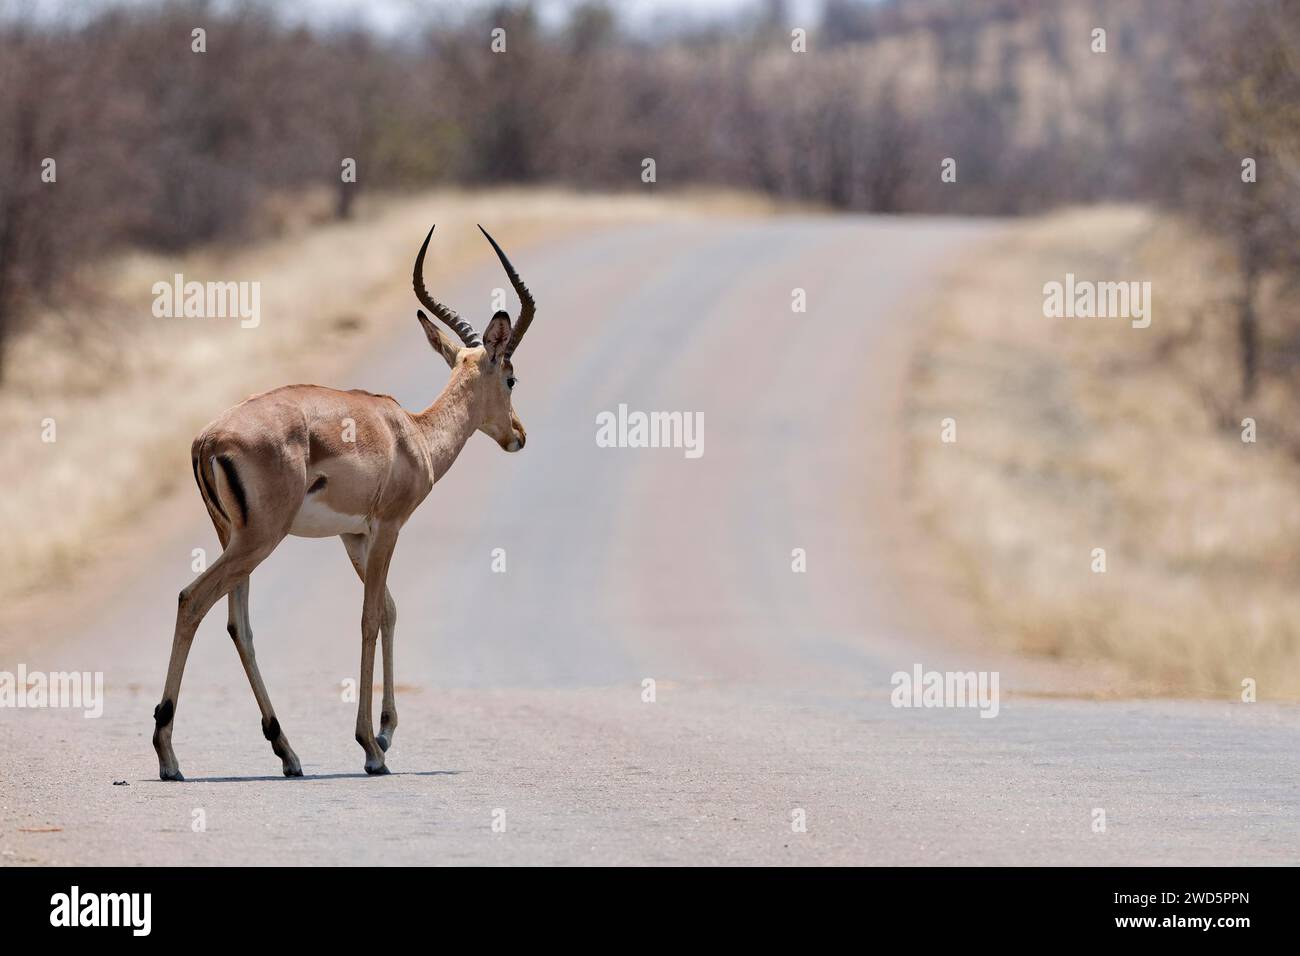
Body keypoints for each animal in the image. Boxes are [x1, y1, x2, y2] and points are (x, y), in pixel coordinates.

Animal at [152, 225, 533, 780]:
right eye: (510, 377)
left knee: (238, 624)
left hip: (234, 540)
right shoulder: (388, 526)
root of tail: (208, 439)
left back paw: (287, 752)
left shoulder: (354, 535)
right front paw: (371, 747)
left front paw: (386, 733)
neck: (411, 434)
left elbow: (390, 610)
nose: (518, 435)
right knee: (191, 600)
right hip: (259, 540)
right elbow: (370, 616)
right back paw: (169, 756)